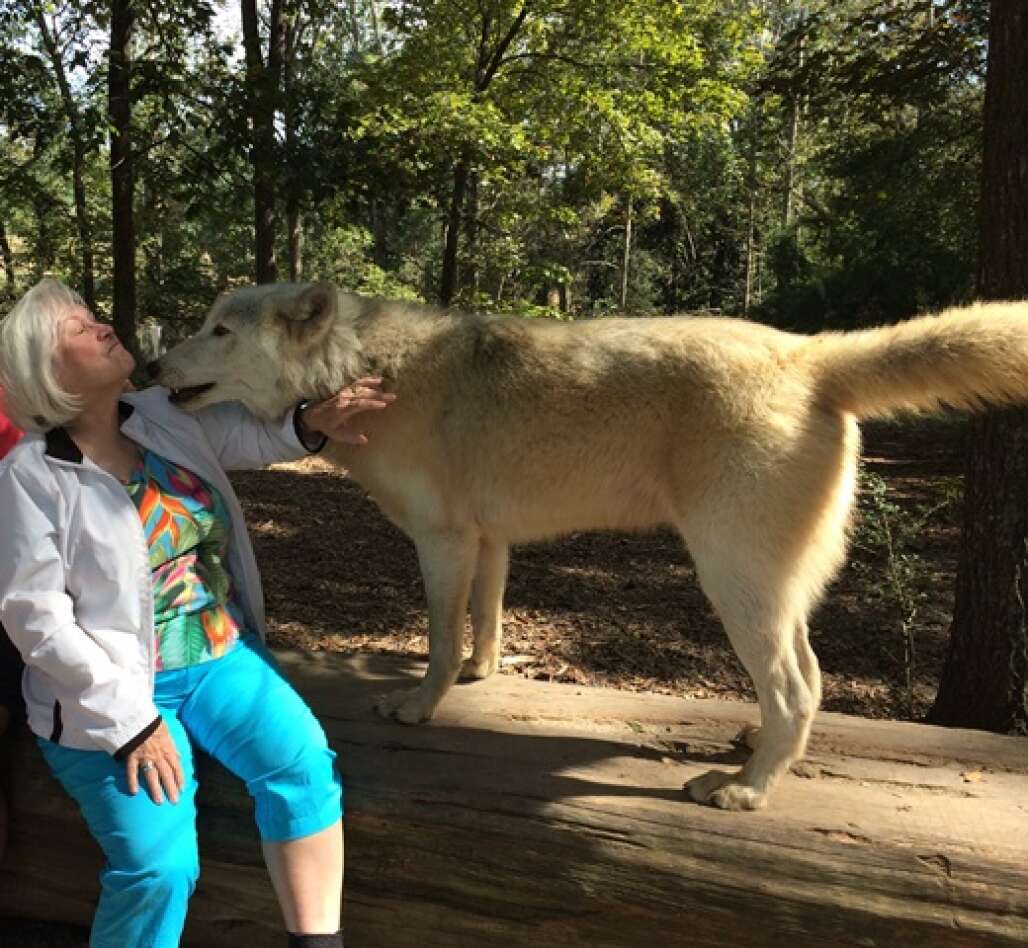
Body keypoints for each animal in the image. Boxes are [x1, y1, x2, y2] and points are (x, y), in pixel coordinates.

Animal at [151, 282, 1028, 810]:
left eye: (218, 330)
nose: (154, 366)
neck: (363, 370)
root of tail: (811, 353)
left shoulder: (443, 541)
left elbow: (437, 641)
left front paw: (421, 706)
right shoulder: (490, 542)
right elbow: (484, 626)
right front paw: (481, 677)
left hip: (733, 583)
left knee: (797, 688)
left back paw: (744, 792)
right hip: (775, 592)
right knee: (809, 678)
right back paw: (755, 751)